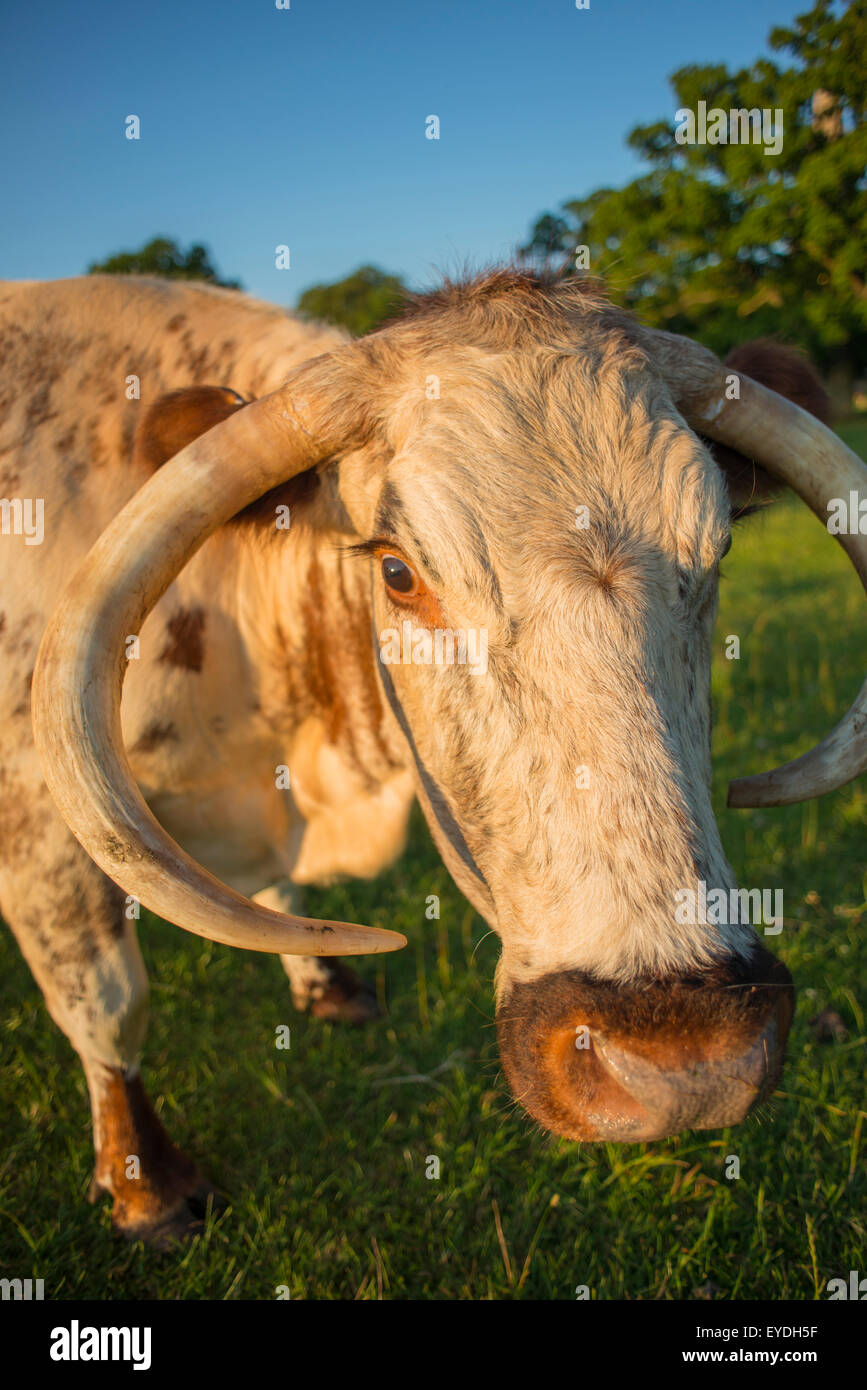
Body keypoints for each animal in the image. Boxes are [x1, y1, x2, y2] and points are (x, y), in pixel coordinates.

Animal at [1, 270, 864, 1247]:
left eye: (716, 554)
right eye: (396, 571)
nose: (684, 1061)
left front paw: (325, 985)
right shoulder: (37, 832)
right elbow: (106, 1000)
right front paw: (146, 1185)